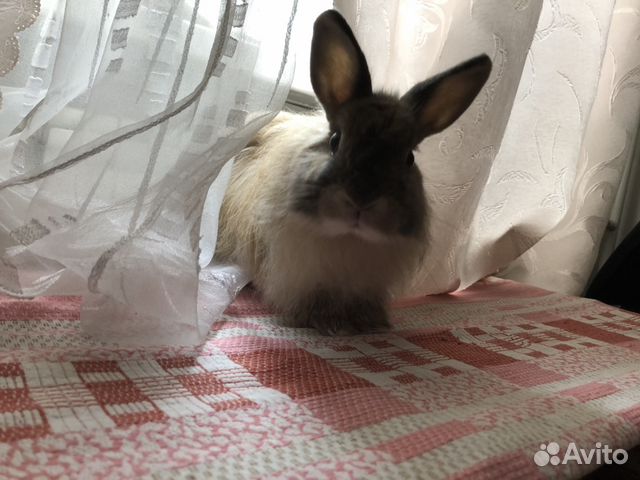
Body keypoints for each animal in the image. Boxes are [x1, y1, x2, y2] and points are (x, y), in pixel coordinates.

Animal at [215, 10, 492, 335]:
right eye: (336, 140)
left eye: (409, 158)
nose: (362, 198)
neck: (349, 238)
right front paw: (322, 322)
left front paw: (369, 323)